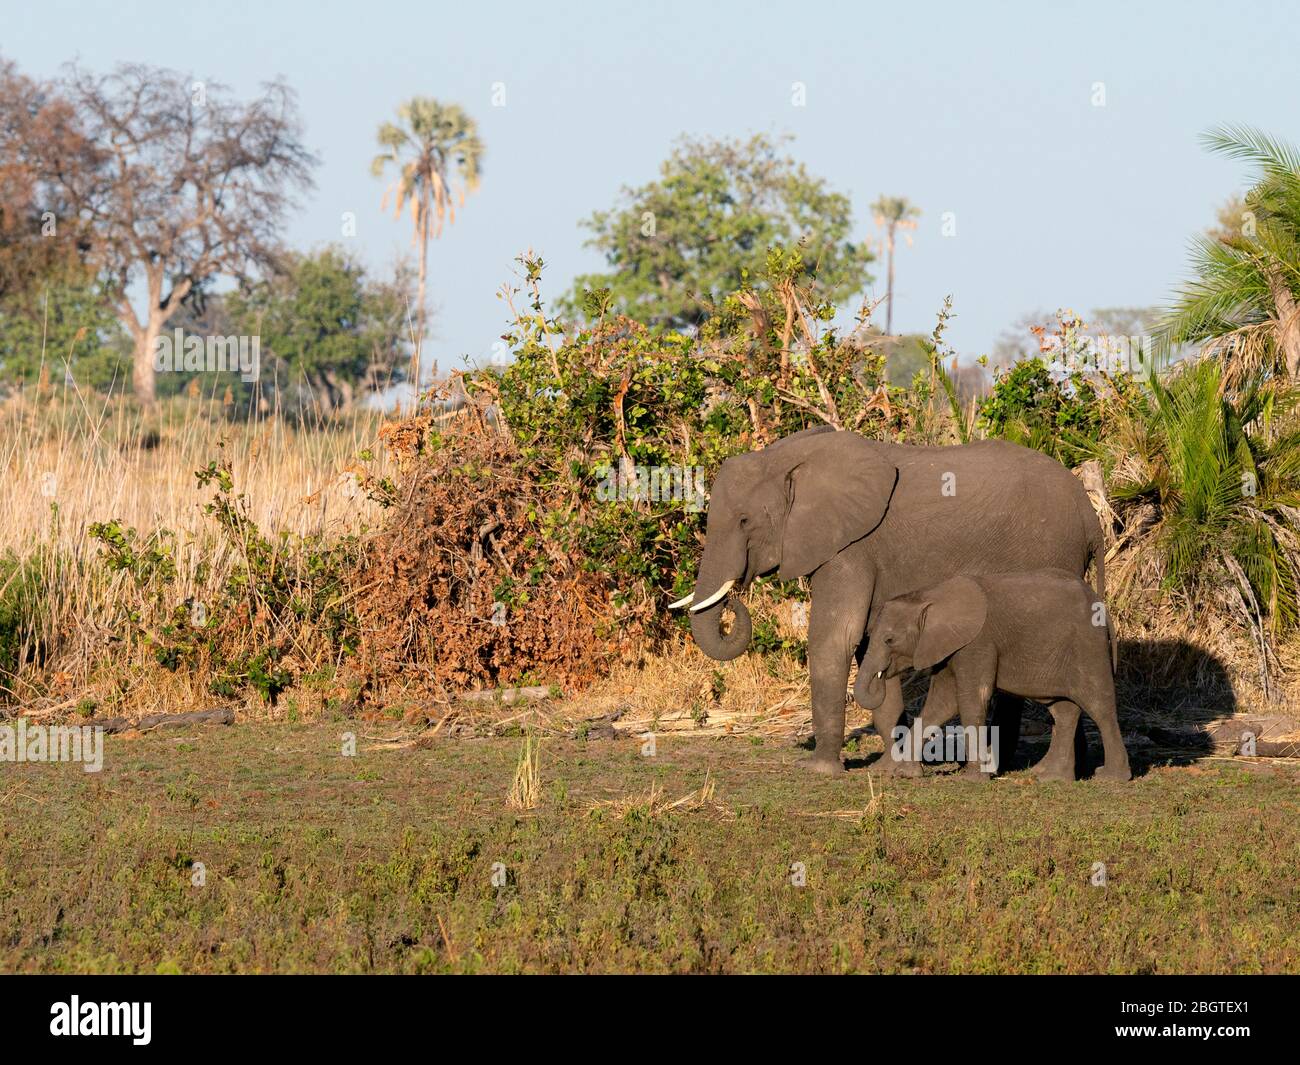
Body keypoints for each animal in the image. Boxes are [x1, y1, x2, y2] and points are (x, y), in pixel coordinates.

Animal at [670, 423, 1107, 775]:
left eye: (745, 521)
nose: (734, 597)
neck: (790, 459)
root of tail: (1091, 517)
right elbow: (867, 644)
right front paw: (888, 763)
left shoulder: (852, 547)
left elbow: (835, 638)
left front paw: (819, 769)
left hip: (1047, 553)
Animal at [852, 574, 1128, 785]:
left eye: (889, 640)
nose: (882, 676)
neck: (931, 596)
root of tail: (1102, 605)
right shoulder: (947, 648)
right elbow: (942, 704)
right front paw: (907, 774)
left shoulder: (977, 644)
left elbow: (972, 700)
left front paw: (972, 779)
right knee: (1063, 710)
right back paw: (1049, 776)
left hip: (1088, 648)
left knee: (1099, 706)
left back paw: (1110, 778)